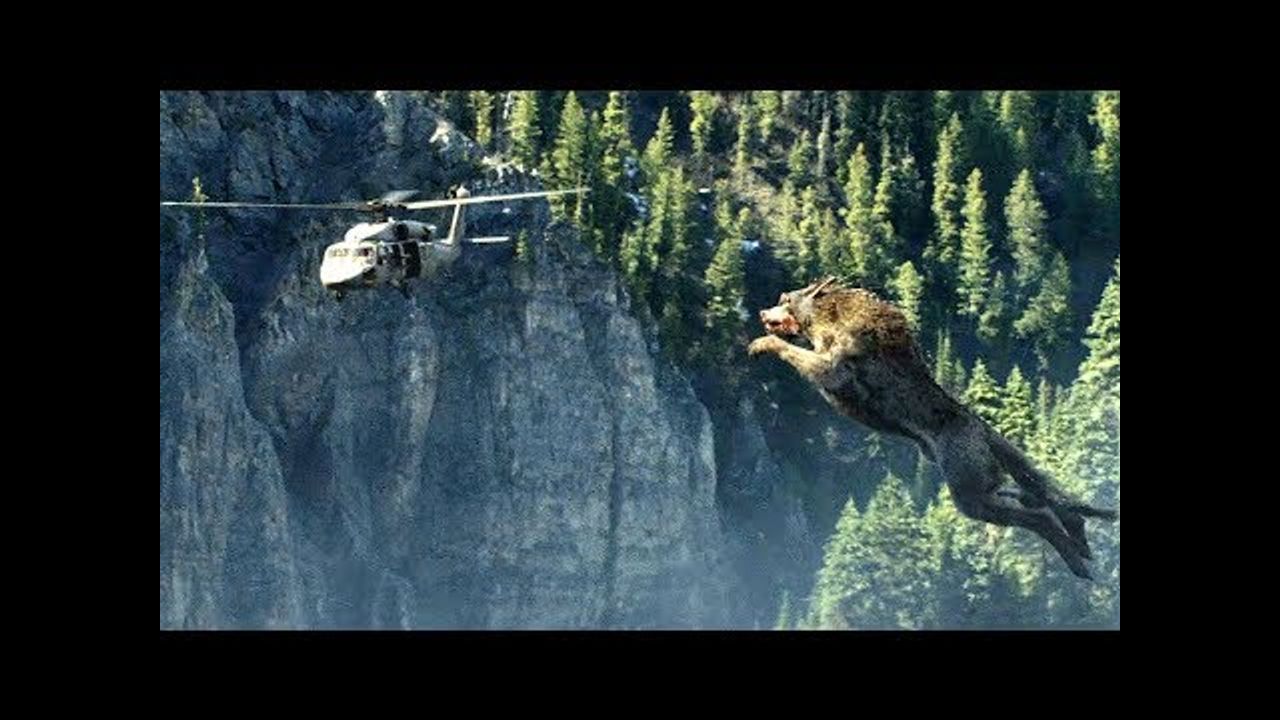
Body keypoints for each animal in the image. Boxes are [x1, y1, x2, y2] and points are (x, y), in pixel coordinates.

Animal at [748, 277, 1117, 579]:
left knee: (1038, 515)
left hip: (969, 491)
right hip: (991, 478)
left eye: (785, 297)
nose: (763, 311)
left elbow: (790, 349)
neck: (829, 318)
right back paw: (1080, 542)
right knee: (1043, 499)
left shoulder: (833, 371)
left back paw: (1076, 560)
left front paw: (759, 344)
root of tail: (982, 429)